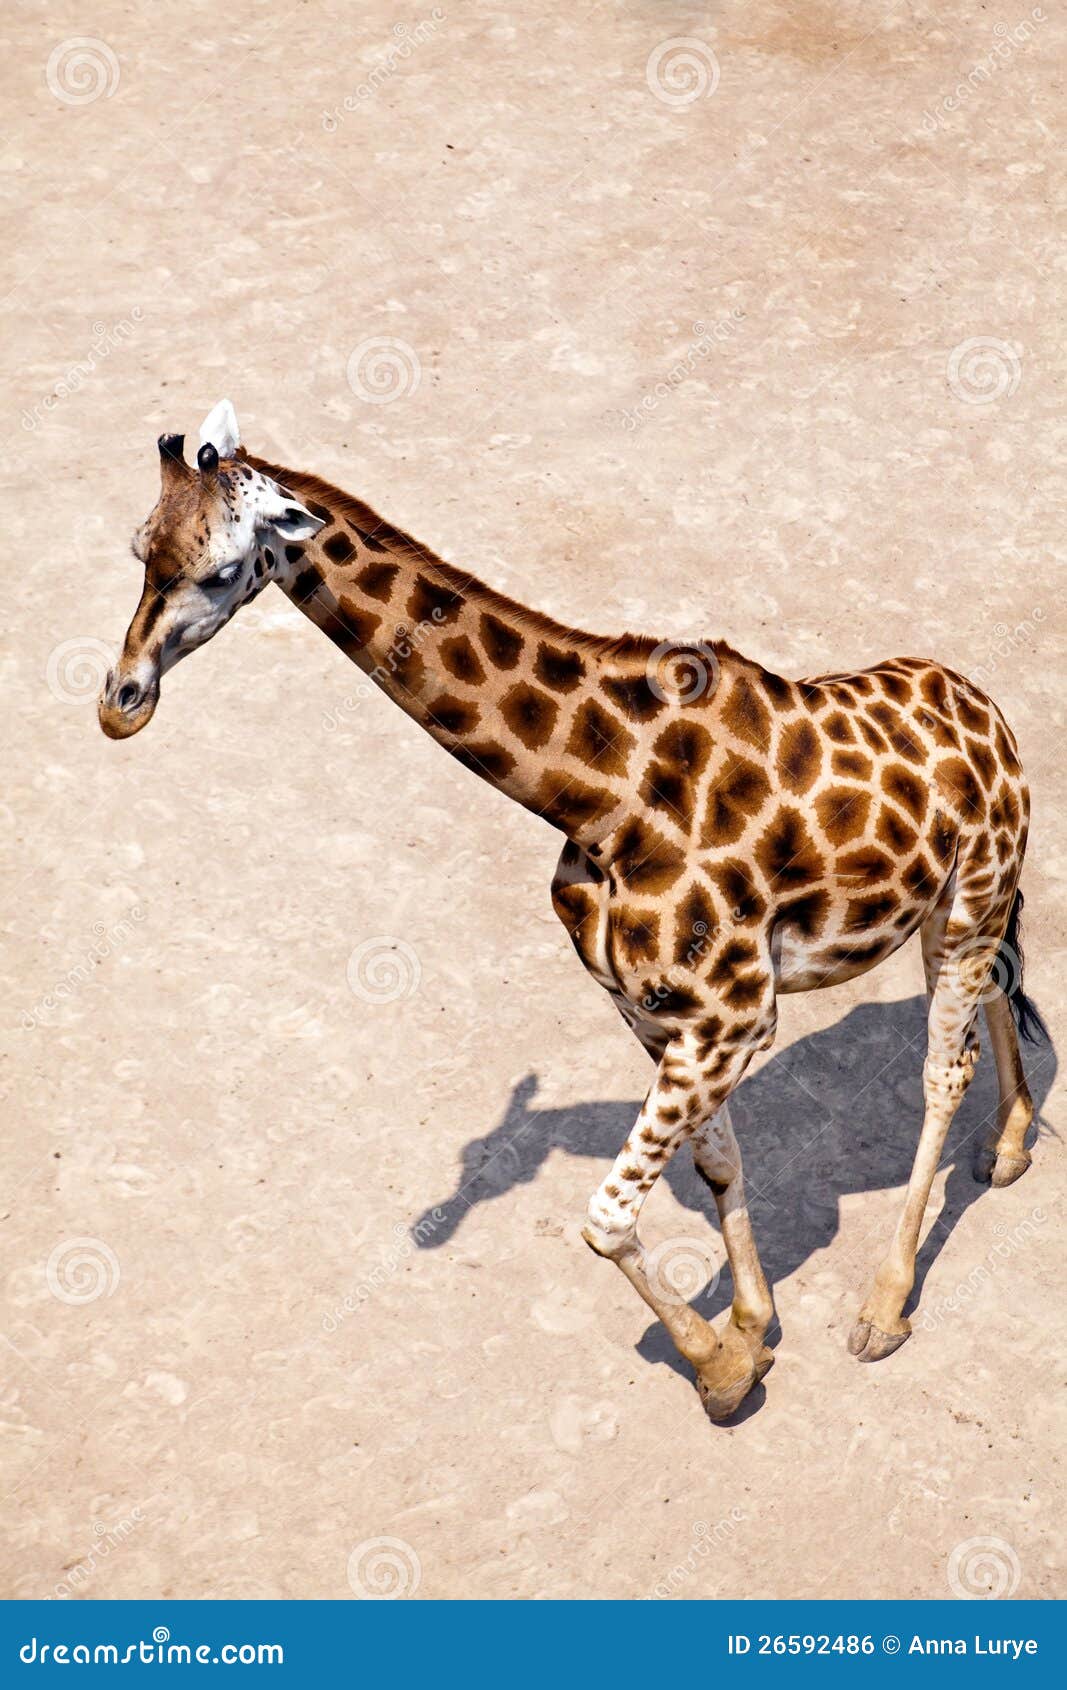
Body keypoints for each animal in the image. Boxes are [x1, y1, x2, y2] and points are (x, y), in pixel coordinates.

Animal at [98, 402, 1045, 1421]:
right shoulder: (654, 1012)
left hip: (971, 892)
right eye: (140, 547)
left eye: (219, 569)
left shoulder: (735, 1016)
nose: (120, 704)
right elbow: (714, 1166)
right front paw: (747, 1335)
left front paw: (716, 1372)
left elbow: (603, 1217)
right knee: (996, 991)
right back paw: (1011, 1144)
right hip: (950, 906)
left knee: (939, 1071)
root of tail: (988, 716)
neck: (594, 796)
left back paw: (883, 1305)